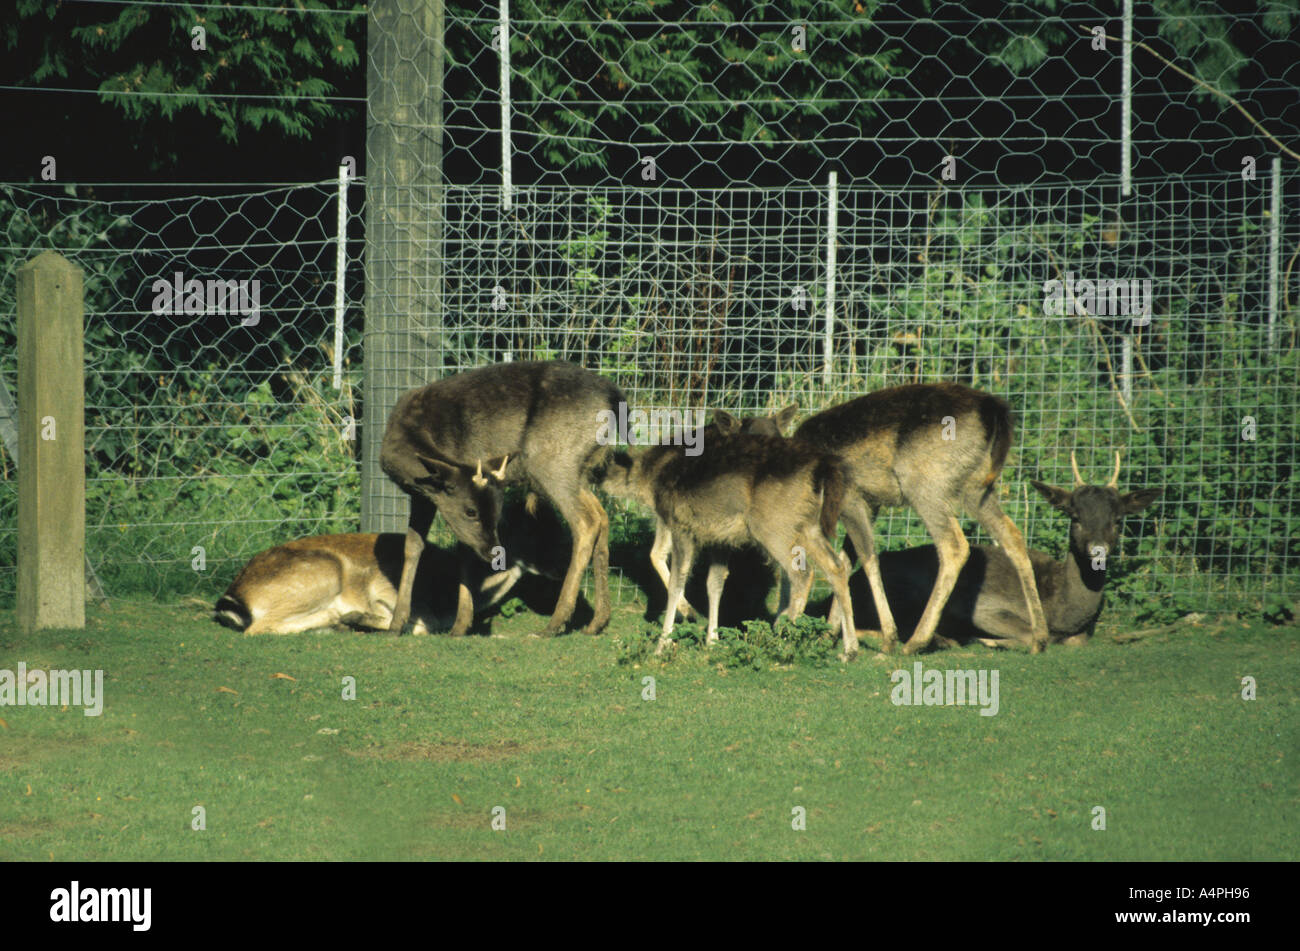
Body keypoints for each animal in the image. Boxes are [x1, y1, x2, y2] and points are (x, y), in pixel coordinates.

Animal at [215, 493, 570, 636]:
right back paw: (338, 619)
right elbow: (418, 625)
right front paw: (357, 617)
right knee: (258, 628)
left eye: (556, 524)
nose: (562, 567)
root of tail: (233, 597)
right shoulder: (383, 587)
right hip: (323, 573)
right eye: (533, 531)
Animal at [380, 360, 624, 638]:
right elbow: (413, 547)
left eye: (495, 511)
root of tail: (614, 397)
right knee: (602, 515)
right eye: (471, 511)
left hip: (552, 460)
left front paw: (460, 625)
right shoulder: (422, 496)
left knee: (586, 522)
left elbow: (464, 552)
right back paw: (597, 622)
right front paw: (396, 624)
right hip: (579, 471)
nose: (494, 552)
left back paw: (554, 623)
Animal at [603, 430, 858, 657]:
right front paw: (711, 639)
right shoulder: (719, 537)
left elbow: (676, 579)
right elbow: (713, 582)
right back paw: (849, 650)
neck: (646, 478)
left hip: (773, 526)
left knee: (802, 573)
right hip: (808, 526)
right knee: (836, 567)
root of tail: (821, 467)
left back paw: (783, 642)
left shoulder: (679, 524)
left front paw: (662, 644)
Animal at [792, 382, 1049, 654]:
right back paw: (1039, 639)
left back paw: (916, 640)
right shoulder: (871, 504)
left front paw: (887, 638)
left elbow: (867, 559)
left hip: (923, 483)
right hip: (978, 488)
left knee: (954, 545)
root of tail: (993, 409)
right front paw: (829, 634)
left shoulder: (852, 498)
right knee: (1012, 534)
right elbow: (846, 560)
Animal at [830, 452, 1161, 648]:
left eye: (1117, 520)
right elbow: (1028, 633)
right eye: (1075, 516)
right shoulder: (985, 606)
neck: (1060, 608)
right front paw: (990, 640)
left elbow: (1076, 640)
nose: (1097, 550)